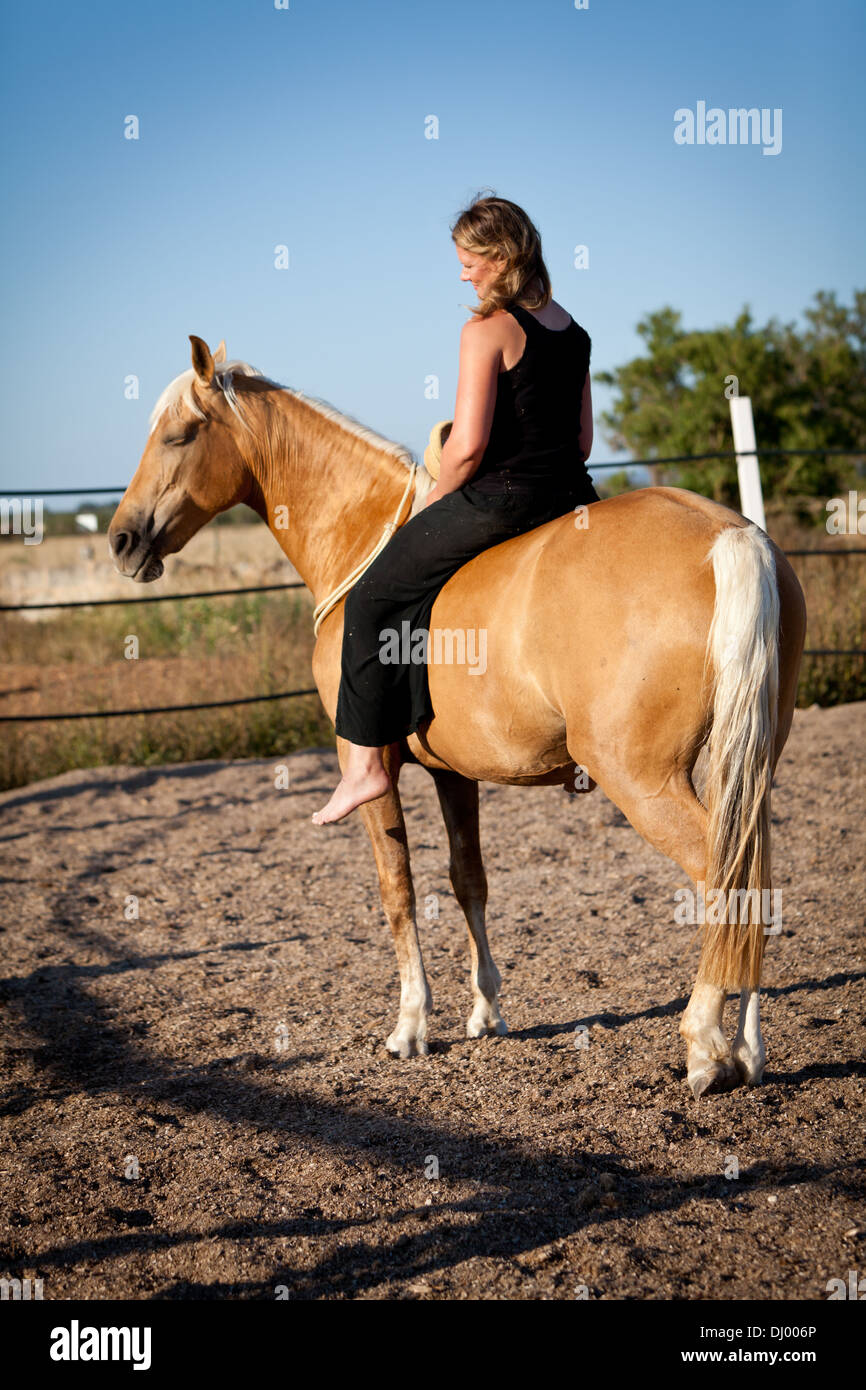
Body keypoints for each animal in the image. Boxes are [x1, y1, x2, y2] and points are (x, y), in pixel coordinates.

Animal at [108, 335, 807, 1098]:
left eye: (179, 435)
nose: (121, 540)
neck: (361, 541)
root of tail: (730, 535)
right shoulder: (454, 773)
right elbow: (468, 878)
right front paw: (486, 1012)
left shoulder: (373, 766)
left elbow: (398, 888)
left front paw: (411, 1025)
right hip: (749, 770)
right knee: (754, 875)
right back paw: (750, 1050)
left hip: (643, 781)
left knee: (720, 877)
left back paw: (706, 1046)